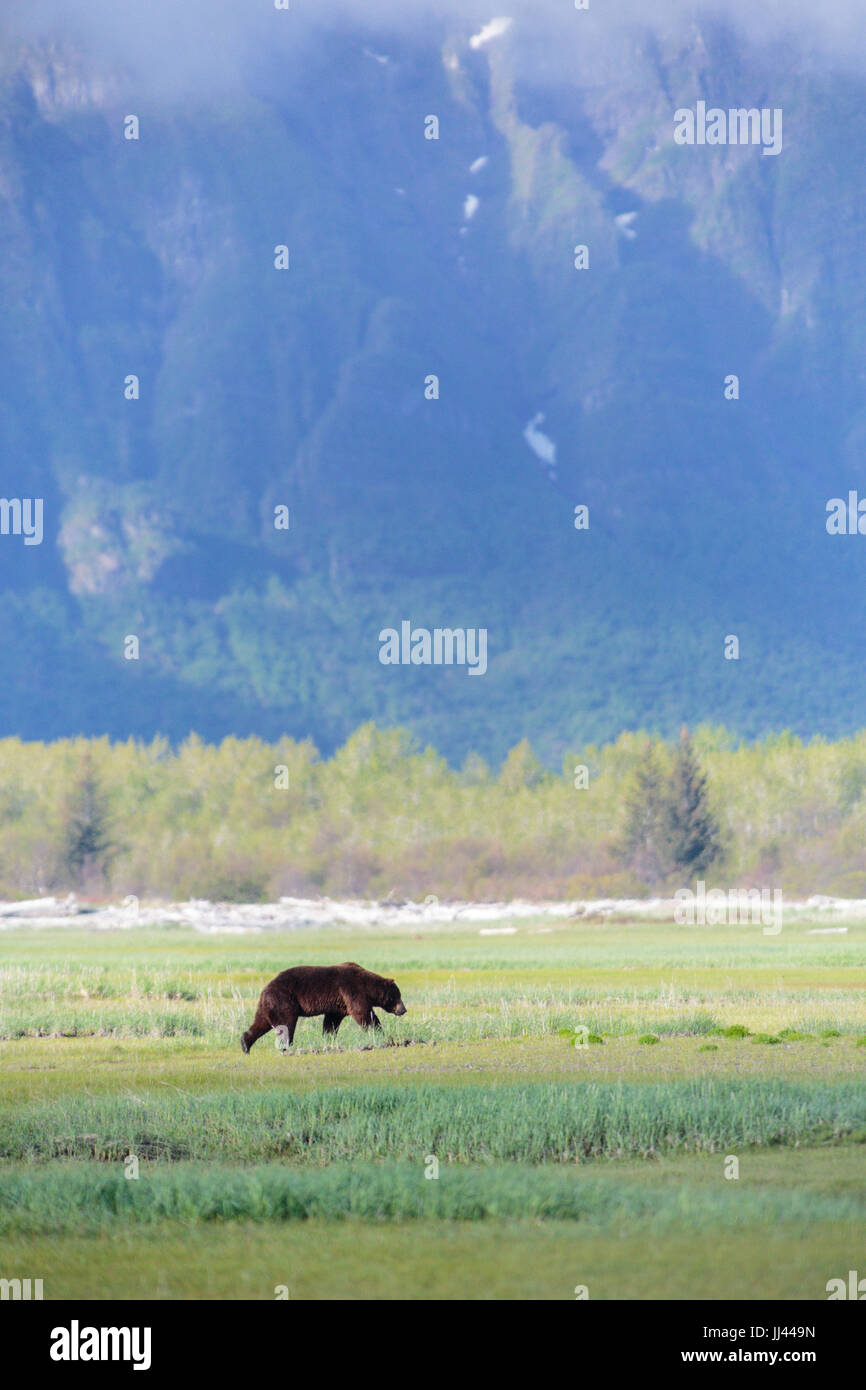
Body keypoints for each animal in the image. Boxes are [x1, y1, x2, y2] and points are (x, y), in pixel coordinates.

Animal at [241, 962, 407, 1053]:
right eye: (398, 996)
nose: (403, 1009)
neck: (368, 987)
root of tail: (265, 990)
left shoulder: (339, 1005)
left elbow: (331, 1022)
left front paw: (328, 1038)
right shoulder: (351, 990)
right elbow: (363, 1014)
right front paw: (378, 1032)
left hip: (269, 1006)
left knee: (260, 1023)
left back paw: (245, 1044)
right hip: (284, 1000)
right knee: (286, 1023)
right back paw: (286, 1046)